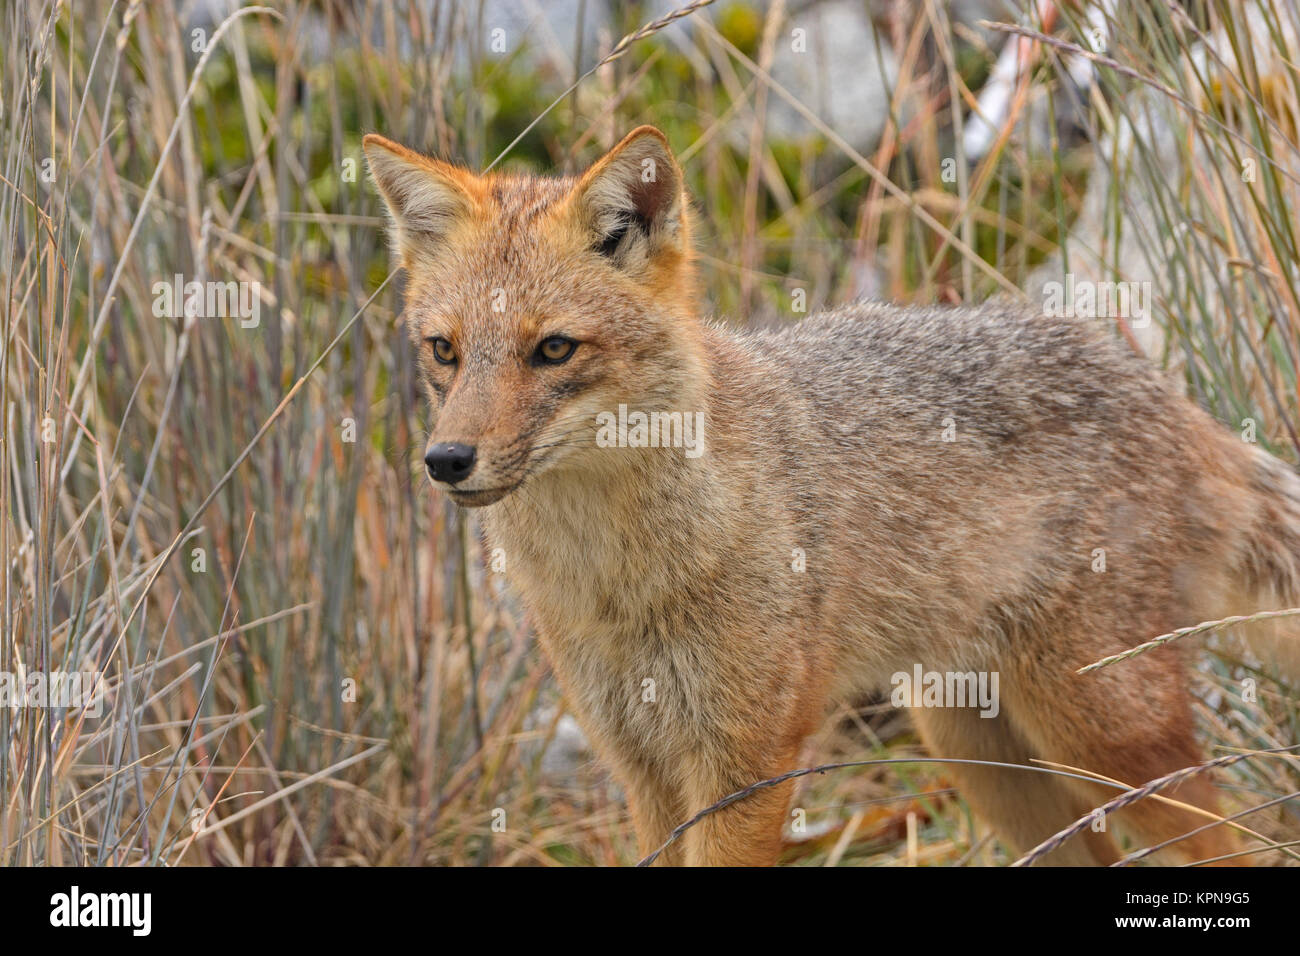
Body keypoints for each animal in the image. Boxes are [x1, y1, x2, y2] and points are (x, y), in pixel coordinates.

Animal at [363, 125, 1300, 866]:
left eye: (553, 349)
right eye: (445, 351)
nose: (446, 460)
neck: (614, 580)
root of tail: (1164, 392)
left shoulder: (746, 765)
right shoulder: (643, 766)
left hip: (1104, 739)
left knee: (1244, 848)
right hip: (980, 753)